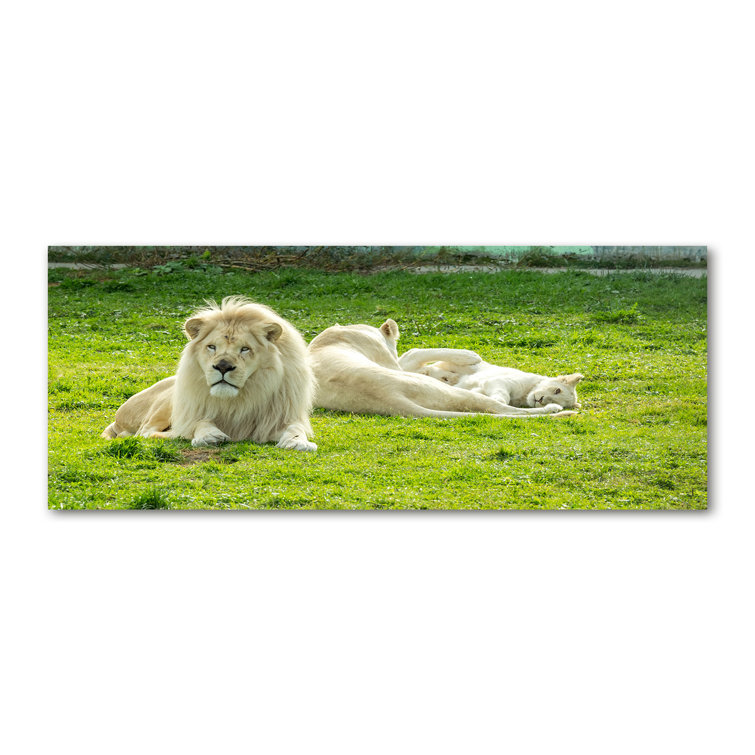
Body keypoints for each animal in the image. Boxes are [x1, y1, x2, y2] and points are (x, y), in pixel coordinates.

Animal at [101, 296, 317, 451]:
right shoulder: (193, 409)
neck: (239, 400)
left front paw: (298, 442)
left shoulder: (280, 417)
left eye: (245, 349)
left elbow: (295, 428)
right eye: (212, 347)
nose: (222, 366)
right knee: (146, 432)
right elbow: (199, 422)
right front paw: (209, 436)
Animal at [308, 319, 573, 418]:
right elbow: (418, 352)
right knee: (498, 408)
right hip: (449, 392)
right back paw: (554, 409)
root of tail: (391, 400)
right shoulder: (396, 363)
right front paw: (471, 356)